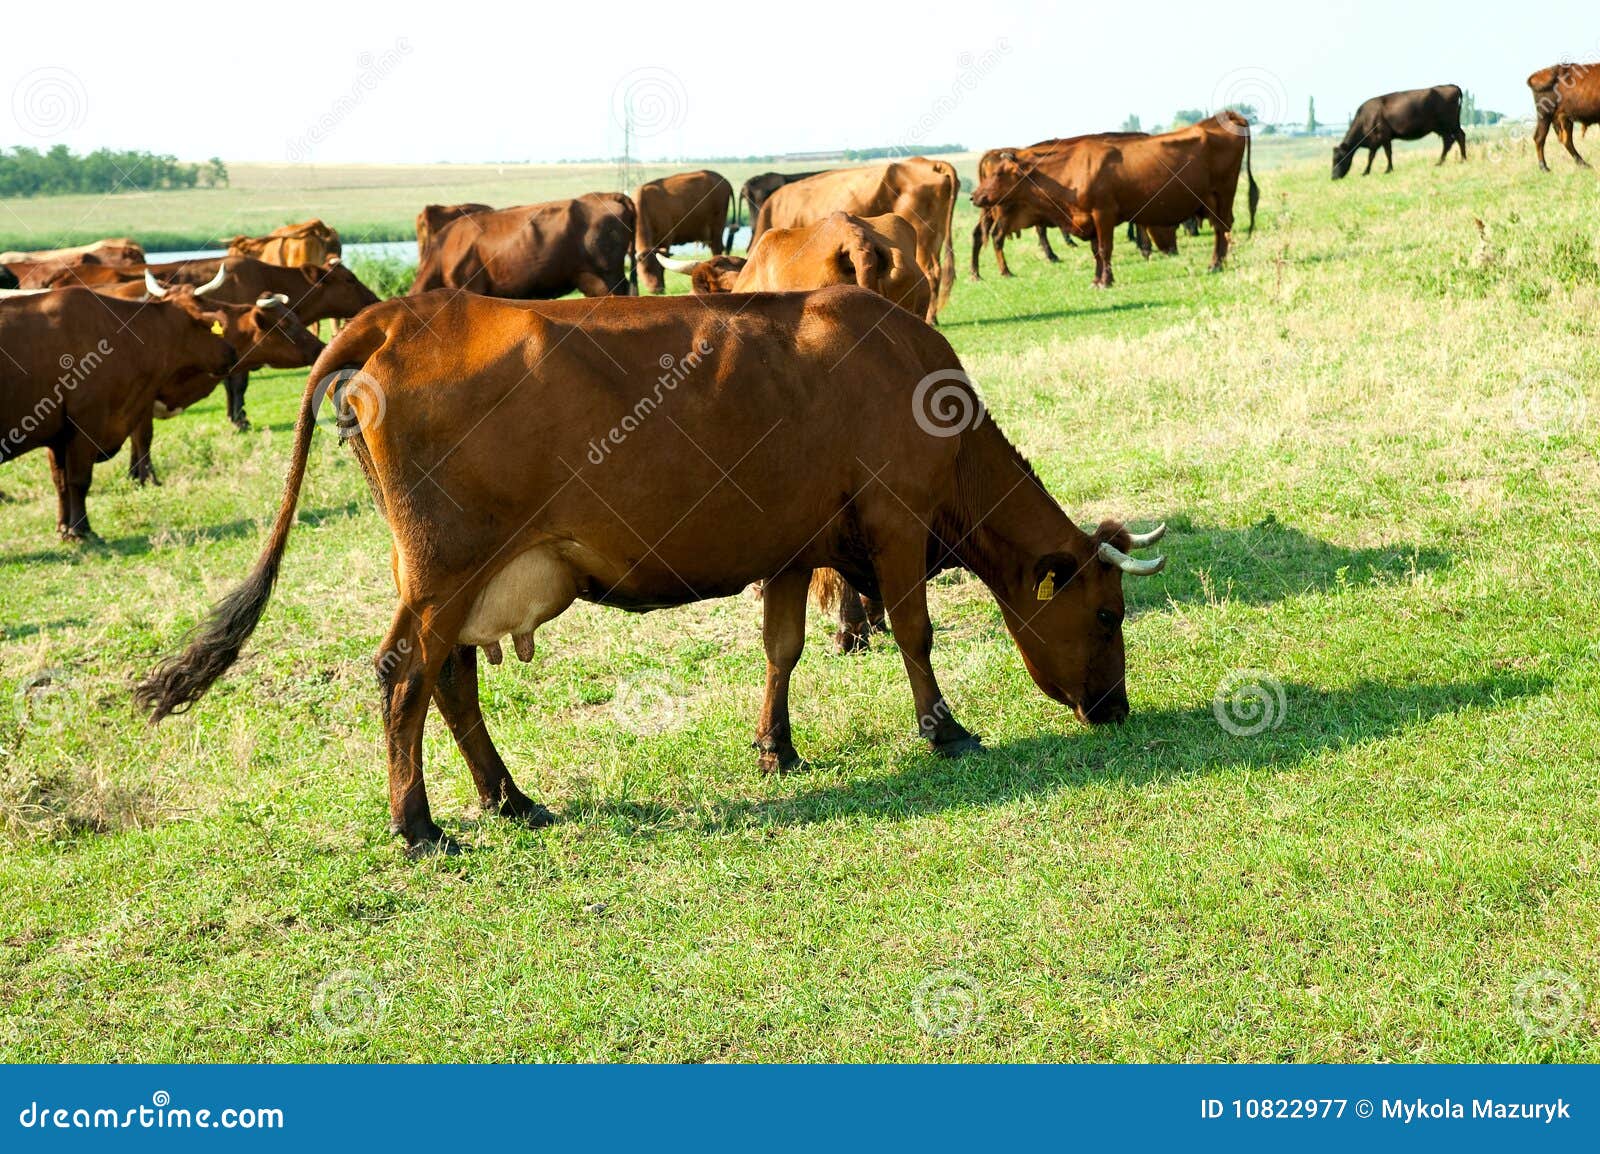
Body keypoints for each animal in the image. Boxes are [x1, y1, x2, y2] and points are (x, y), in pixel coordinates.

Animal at [0, 289, 236, 540]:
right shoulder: (86, 423)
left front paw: (64, 528)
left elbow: (60, 482)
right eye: (210, 326)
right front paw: (81, 530)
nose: (232, 351)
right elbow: (79, 480)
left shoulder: (58, 436)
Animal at [135, 286, 1169, 855]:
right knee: (403, 675)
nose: (1116, 710)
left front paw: (776, 747)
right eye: (1108, 614)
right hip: (444, 566)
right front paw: (945, 730)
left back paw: (511, 800)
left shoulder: (794, 543)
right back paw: (419, 827)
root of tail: (399, 315)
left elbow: (782, 647)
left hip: (449, 574)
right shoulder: (896, 521)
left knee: (450, 679)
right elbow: (914, 630)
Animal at [971, 113, 1259, 288]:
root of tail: (1225, 117)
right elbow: (1096, 251)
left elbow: (1105, 249)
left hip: (1222, 194)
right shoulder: (1089, 219)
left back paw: (1215, 264)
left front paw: (1106, 281)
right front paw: (1097, 279)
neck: (1071, 171)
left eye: (1000, 173)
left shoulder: (1103, 213)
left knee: (1222, 228)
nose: (974, 196)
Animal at [1332, 85, 1467, 178]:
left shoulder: (1383, 136)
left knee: (1460, 136)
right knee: (1448, 141)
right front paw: (1368, 171)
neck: (1365, 118)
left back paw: (1462, 159)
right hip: (1442, 127)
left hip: (1449, 123)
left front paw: (1386, 170)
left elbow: (1384, 153)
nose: (1333, 177)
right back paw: (1440, 162)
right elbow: (1374, 156)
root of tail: (1451, 86)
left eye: (1337, 159)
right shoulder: (1376, 141)